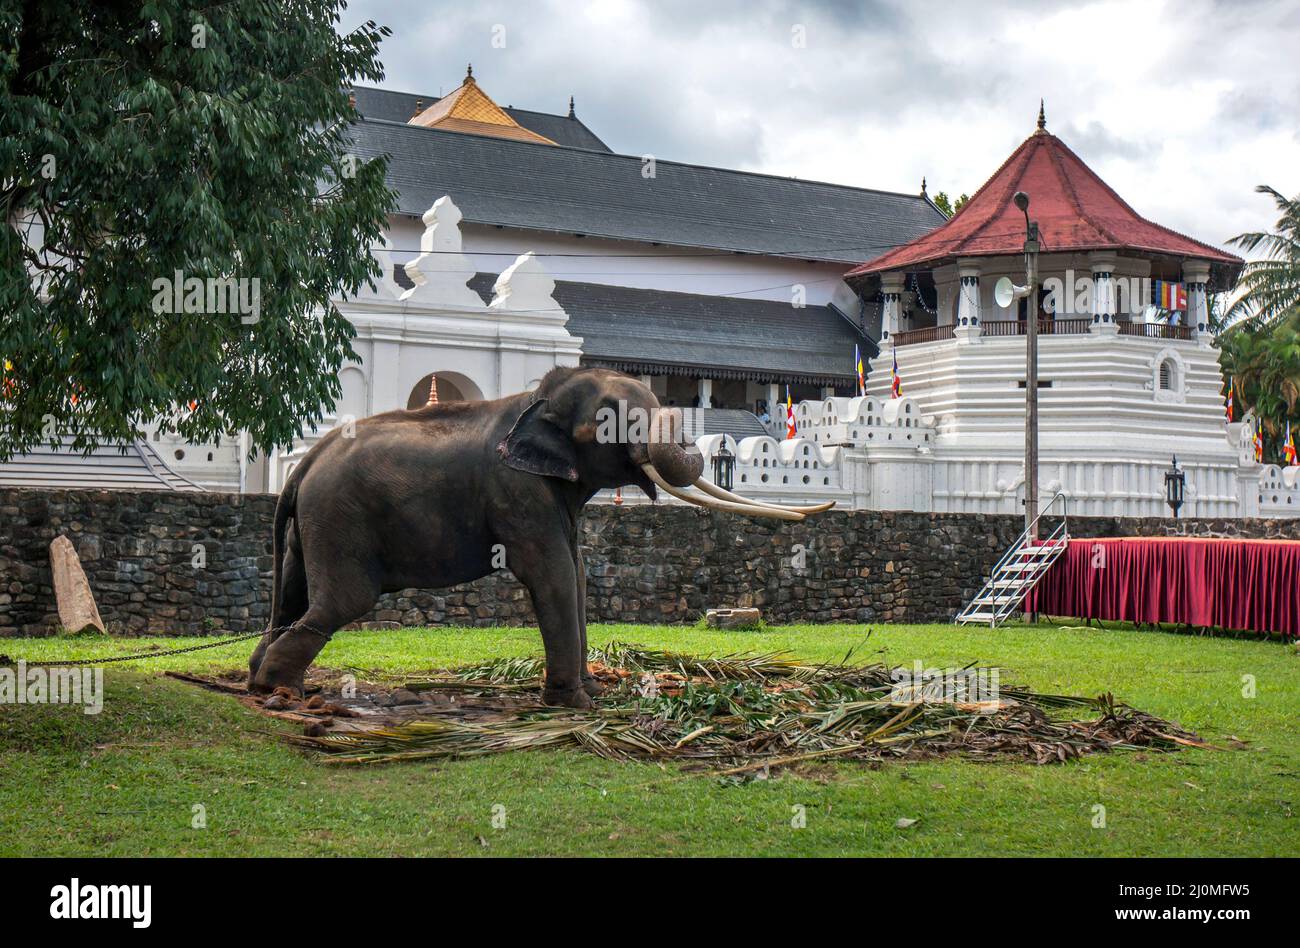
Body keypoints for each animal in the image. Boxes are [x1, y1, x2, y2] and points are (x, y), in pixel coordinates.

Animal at [247, 367, 831, 708]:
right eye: (611, 420)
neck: (536, 399)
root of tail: (304, 466)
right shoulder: (517, 489)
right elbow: (552, 574)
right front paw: (576, 704)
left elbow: (577, 571)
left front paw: (591, 692)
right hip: (339, 520)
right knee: (342, 601)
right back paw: (280, 691)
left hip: (310, 528)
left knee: (295, 595)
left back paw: (266, 680)